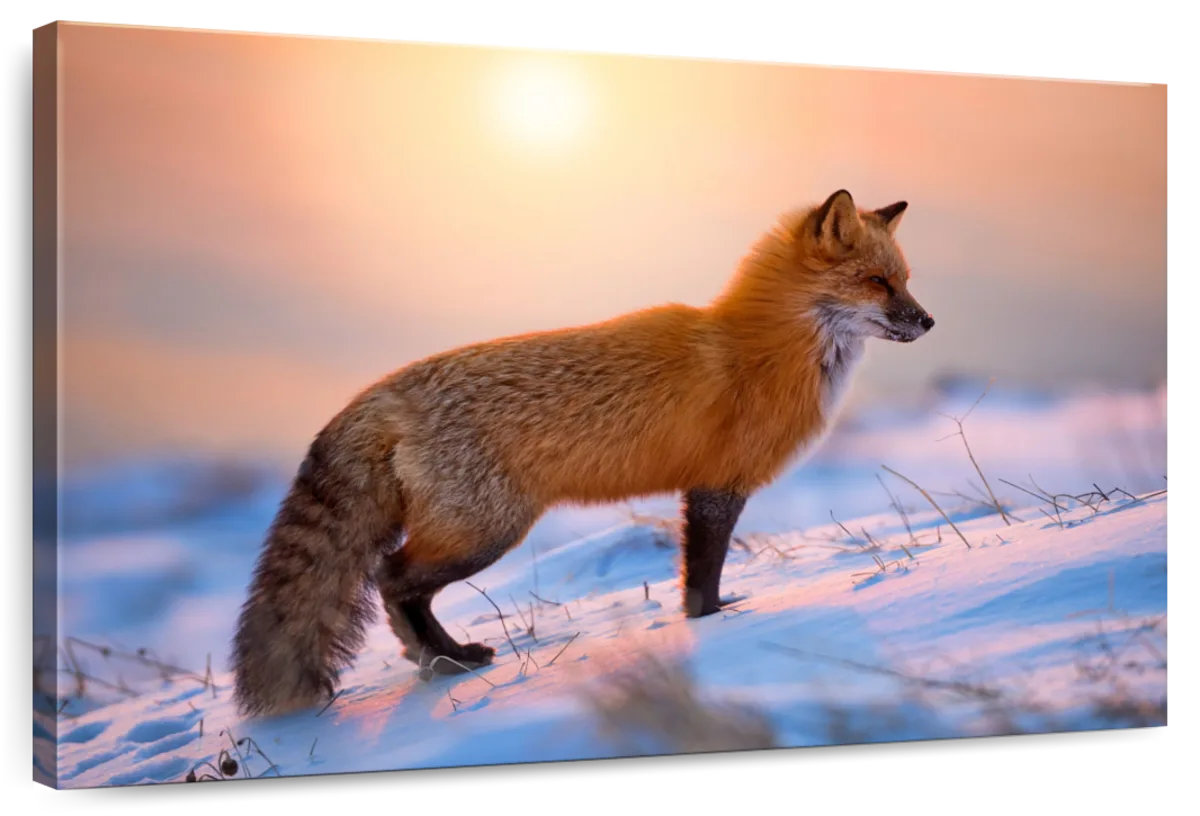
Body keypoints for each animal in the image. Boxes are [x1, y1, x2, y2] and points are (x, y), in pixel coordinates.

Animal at [231, 189, 934, 716]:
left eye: (905, 281)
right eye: (876, 282)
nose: (928, 322)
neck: (763, 351)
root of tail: (383, 391)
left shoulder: (706, 485)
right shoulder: (717, 485)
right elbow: (702, 576)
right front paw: (712, 625)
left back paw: (441, 659)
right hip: (486, 531)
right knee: (391, 577)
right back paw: (447, 660)